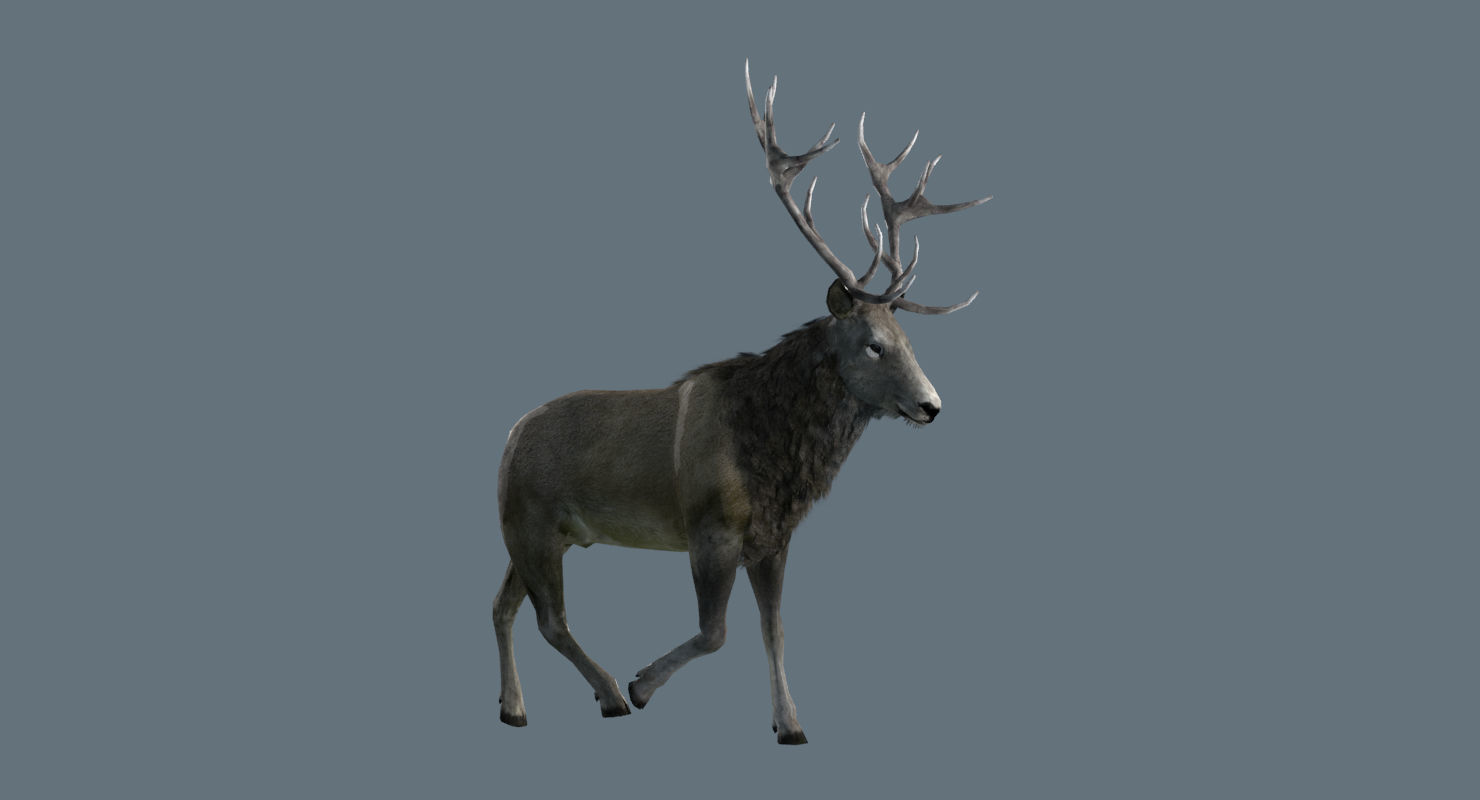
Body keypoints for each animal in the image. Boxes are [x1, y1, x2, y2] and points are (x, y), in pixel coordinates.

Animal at [494, 61, 991, 744]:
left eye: (908, 340)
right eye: (873, 345)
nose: (931, 405)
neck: (776, 463)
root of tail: (508, 439)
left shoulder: (774, 538)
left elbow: (773, 630)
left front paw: (792, 725)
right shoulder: (712, 527)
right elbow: (715, 632)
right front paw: (642, 685)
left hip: (542, 533)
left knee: (503, 606)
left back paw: (514, 707)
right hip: (532, 520)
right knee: (550, 618)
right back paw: (609, 693)